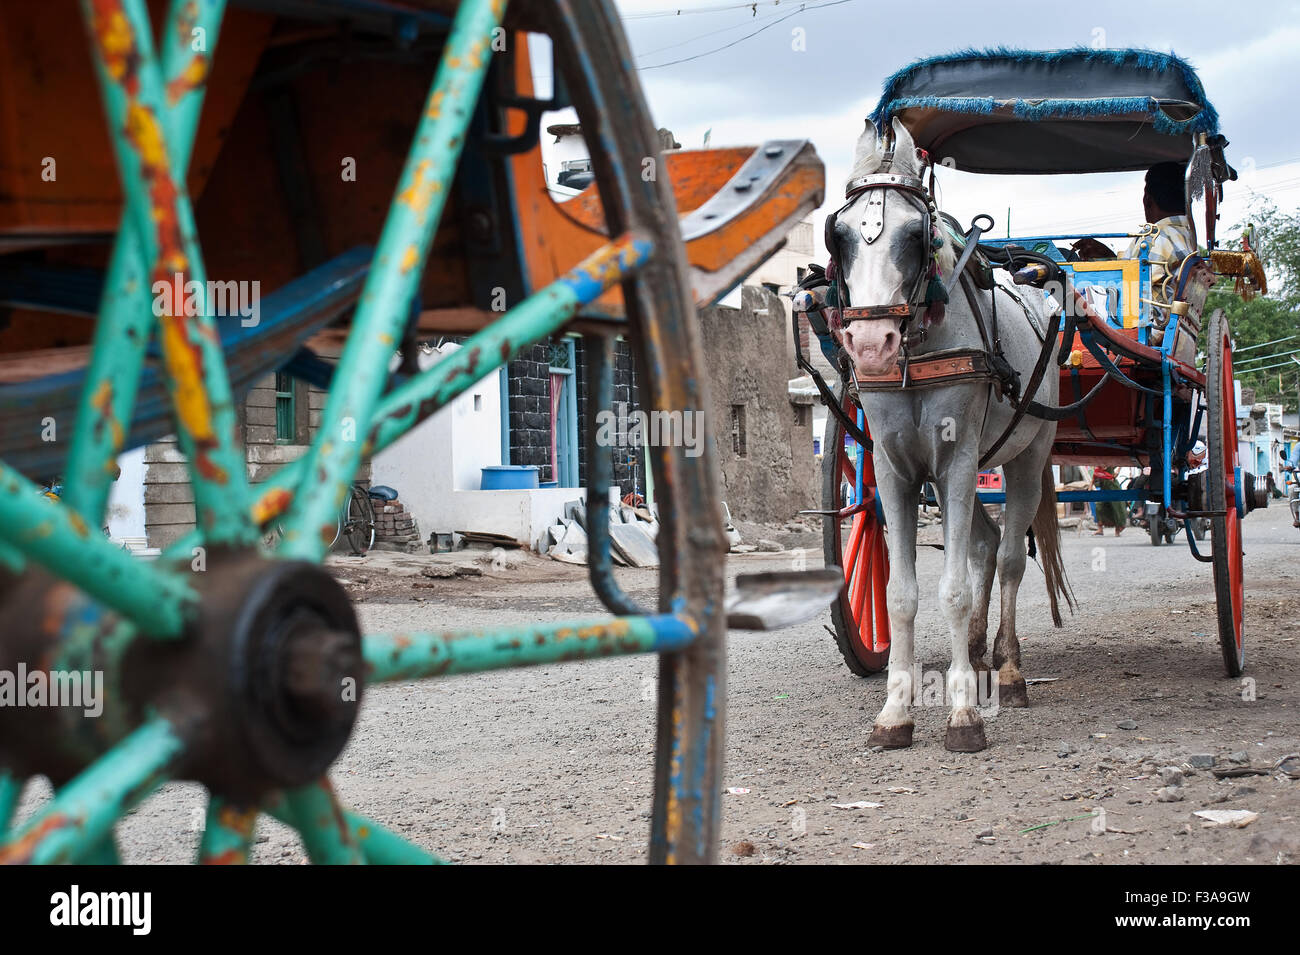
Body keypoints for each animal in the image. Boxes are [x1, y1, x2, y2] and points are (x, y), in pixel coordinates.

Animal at [828, 116, 1074, 752]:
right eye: (840, 236)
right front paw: (895, 710)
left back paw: (1008, 669)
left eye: (916, 234)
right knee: (985, 545)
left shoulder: (959, 460)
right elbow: (899, 594)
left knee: (1008, 557)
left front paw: (963, 713)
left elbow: (955, 589)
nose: (871, 345)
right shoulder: (894, 469)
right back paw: (982, 652)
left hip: (1024, 457)